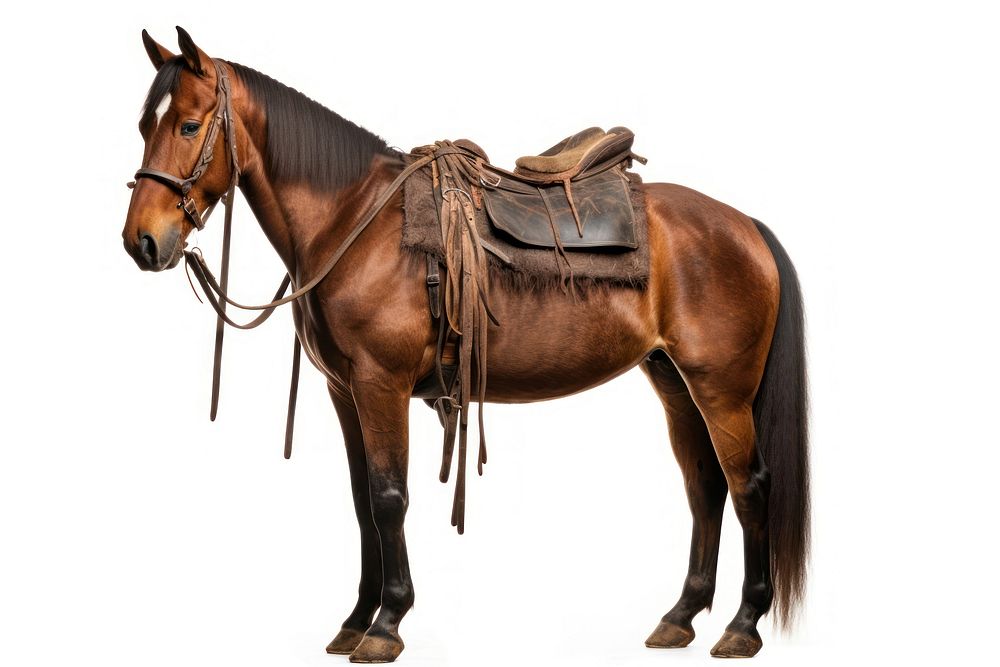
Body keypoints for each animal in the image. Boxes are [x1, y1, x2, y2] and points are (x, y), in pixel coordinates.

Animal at [121, 27, 809, 662]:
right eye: (144, 124)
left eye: (188, 125)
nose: (141, 242)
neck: (352, 220)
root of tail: (745, 224)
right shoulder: (345, 391)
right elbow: (361, 499)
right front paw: (356, 619)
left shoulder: (380, 384)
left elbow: (389, 497)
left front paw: (387, 624)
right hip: (674, 383)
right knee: (706, 488)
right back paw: (681, 616)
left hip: (723, 392)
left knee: (750, 486)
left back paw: (743, 625)